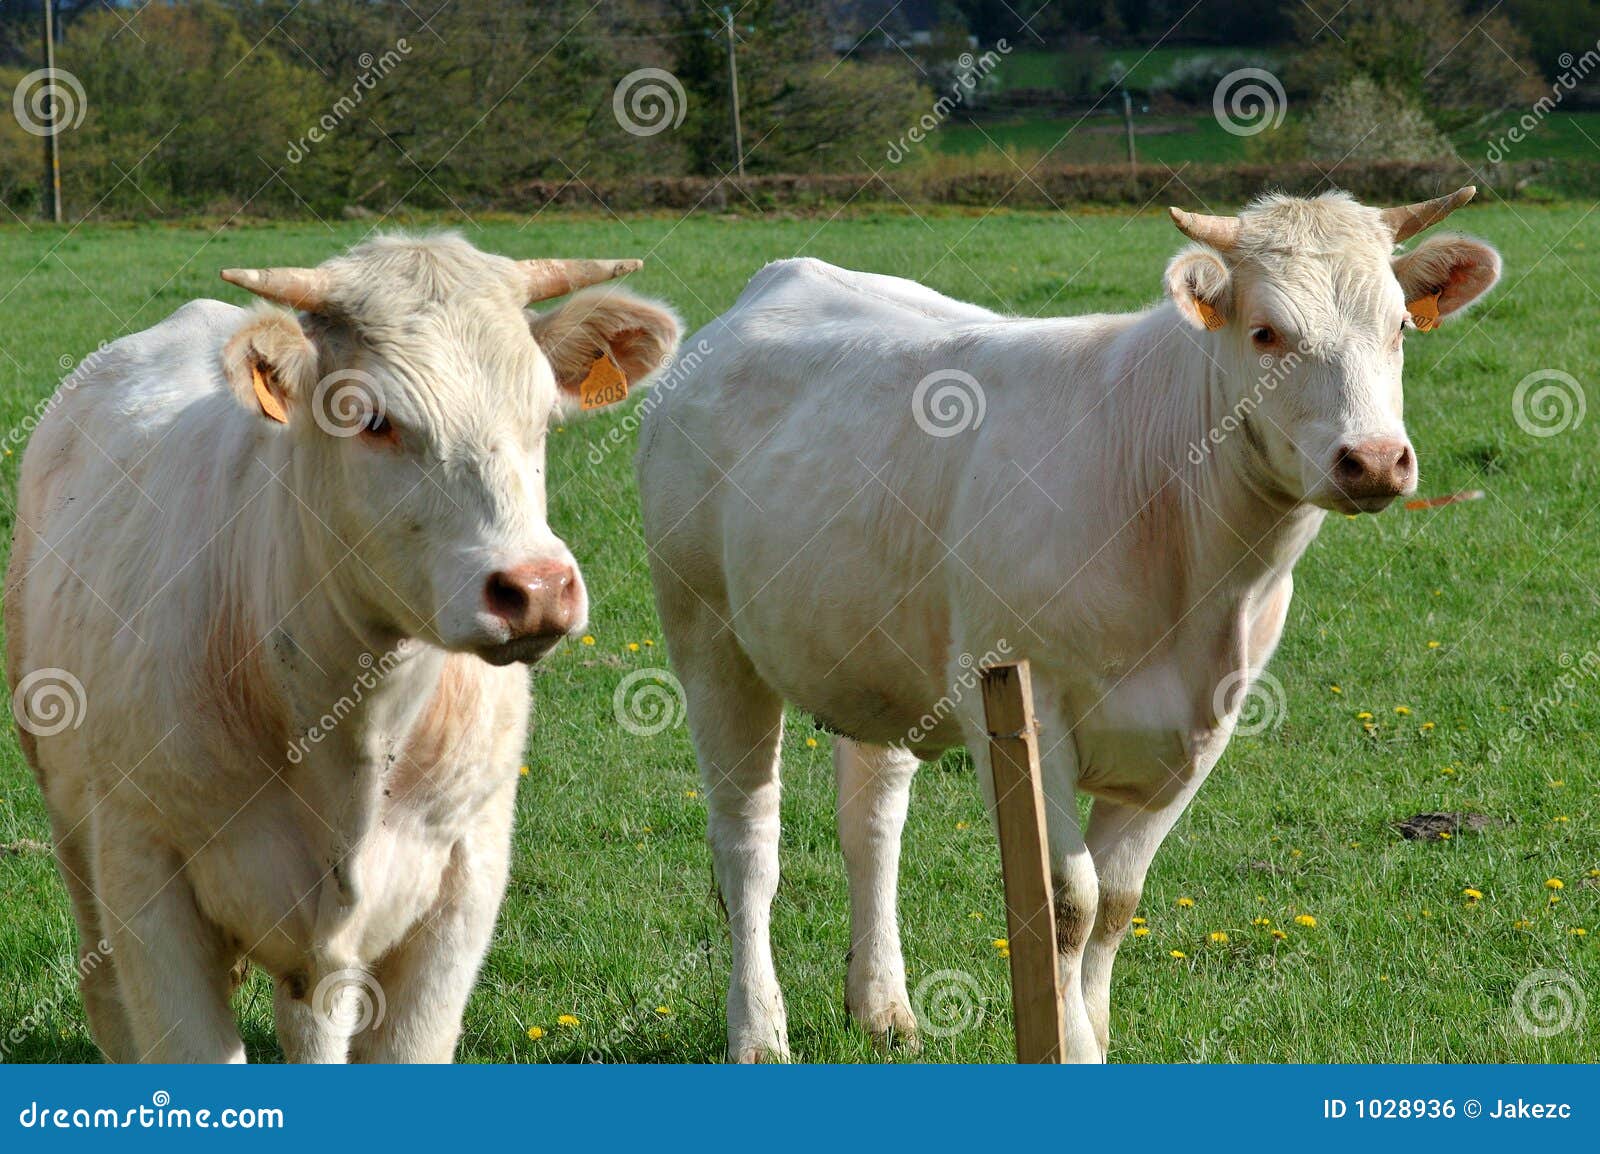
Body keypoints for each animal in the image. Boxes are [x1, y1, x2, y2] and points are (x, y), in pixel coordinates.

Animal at [5, 234, 679, 1062]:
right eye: (373, 419)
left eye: (541, 415)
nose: (538, 587)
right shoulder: (143, 872)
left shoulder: (466, 877)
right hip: (75, 835)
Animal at [637, 188, 1500, 1062]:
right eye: (1266, 332)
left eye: (1399, 326)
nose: (1375, 459)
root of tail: (779, 278)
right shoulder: (1023, 710)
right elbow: (1066, 902)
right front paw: (1074, 1045)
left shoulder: (1205, 725)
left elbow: (1117, 899)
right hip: (707, 638)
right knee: (748, 844)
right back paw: (758, 1031)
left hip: (874, 651)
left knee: (871, 828)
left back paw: (882, 1008)